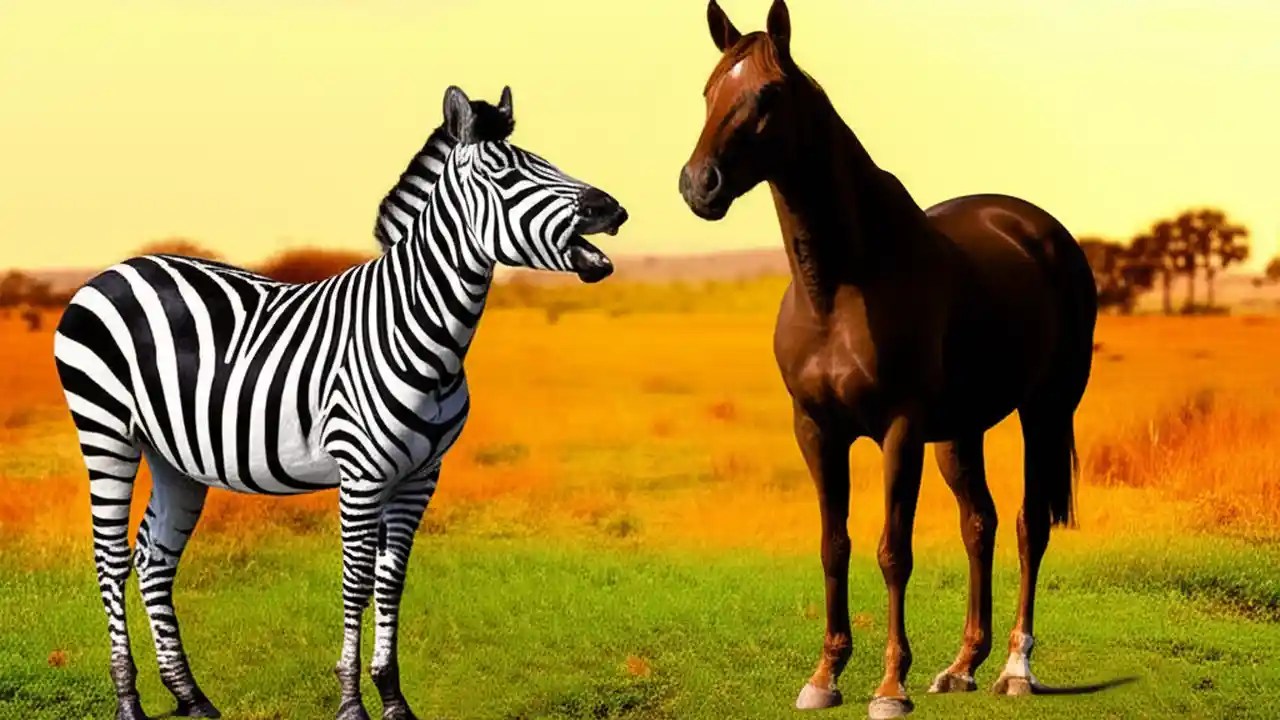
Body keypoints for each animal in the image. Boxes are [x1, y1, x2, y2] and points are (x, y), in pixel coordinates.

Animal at [53, 84, 628, 720]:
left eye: (542, 159)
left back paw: (193, 697)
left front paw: (394, 699)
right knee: (110, 560)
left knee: (153, 559)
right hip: (106, 432)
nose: (613, 211)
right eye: (506, 172)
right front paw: (352, 702)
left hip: (174, 456)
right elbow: (357, 583)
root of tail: (118, 268)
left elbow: (391, 580)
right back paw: (129, 702)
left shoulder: (421, 476)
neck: (417, 326)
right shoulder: (361, 473)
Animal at [678, 2, 1098, 717]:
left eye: (768, 94)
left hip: (1044, 412)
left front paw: (890, 686)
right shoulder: (816, 430)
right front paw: (824, 676)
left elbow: (892, 551)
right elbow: (834, 546)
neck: (842, 284)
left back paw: (1015, 668)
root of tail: (1043, 231)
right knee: (979, 524)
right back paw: (961, 666)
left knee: (1029, 525)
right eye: (709, 91)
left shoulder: (899, 430)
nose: (697, 185)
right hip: (961, 430)